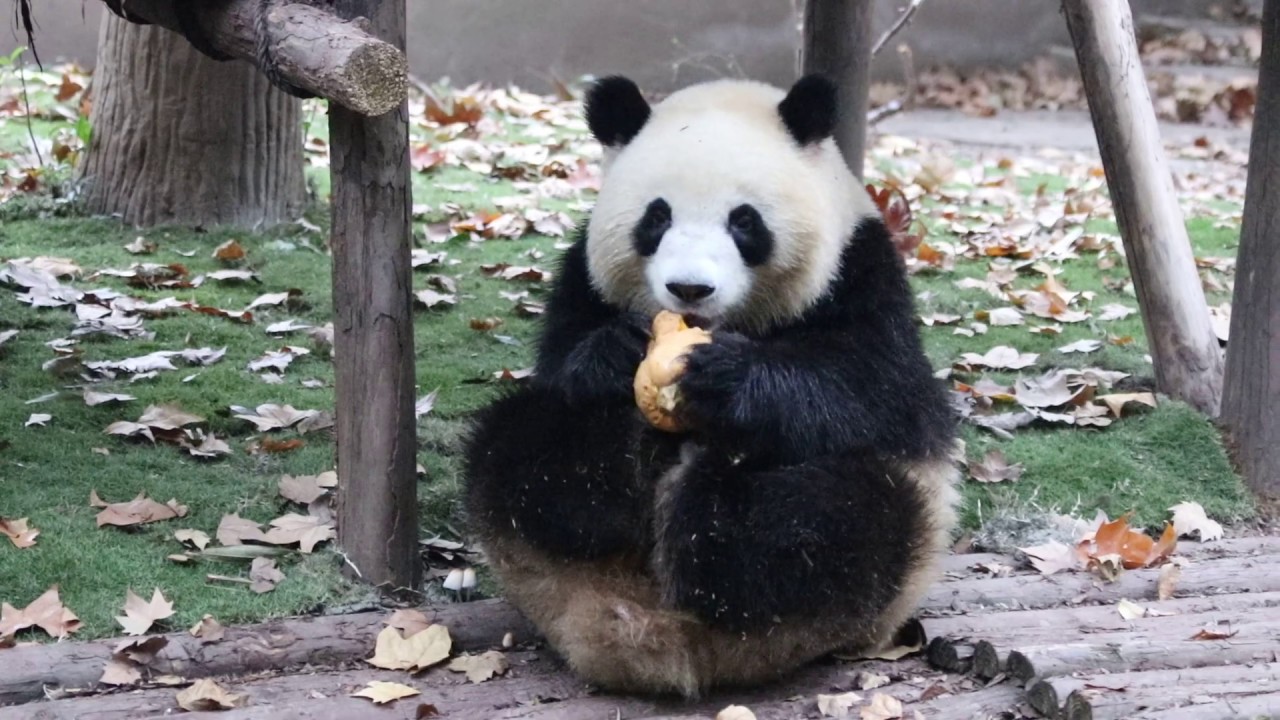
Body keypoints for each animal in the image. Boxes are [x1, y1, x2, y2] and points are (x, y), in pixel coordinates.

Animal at [463, 73, 959, 697]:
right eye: (657, 218)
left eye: (743, 221)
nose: (689, 289)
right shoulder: (582, 279)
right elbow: (562, 358)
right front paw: (614, 355)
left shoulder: (862, 270)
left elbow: (877, 388)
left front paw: (728, 379)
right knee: (520, 451)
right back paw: (615, 467)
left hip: (896, 537)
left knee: (840, 517)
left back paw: (712, 510)